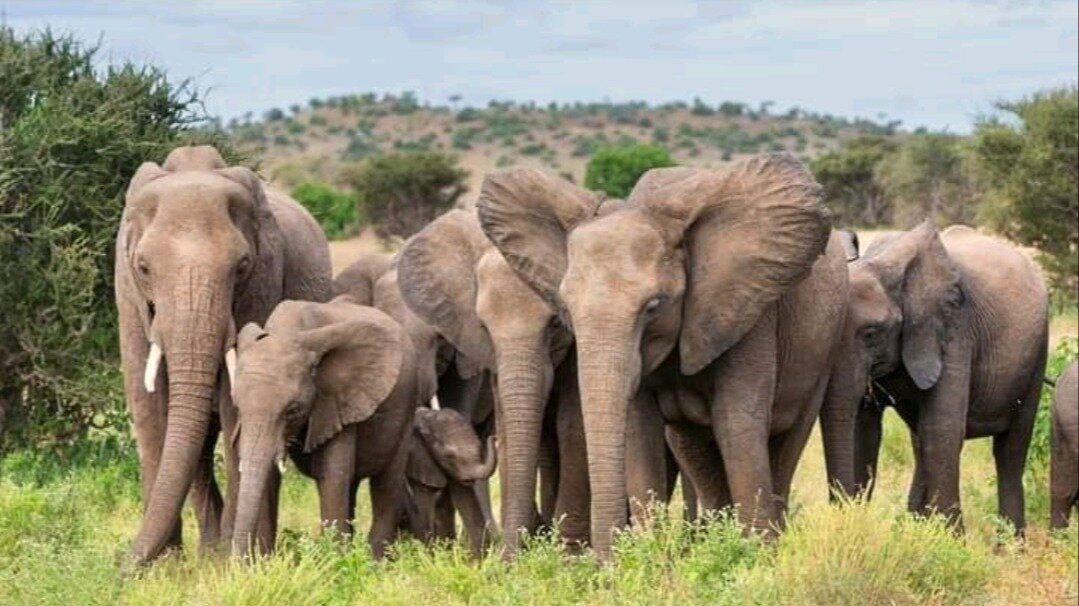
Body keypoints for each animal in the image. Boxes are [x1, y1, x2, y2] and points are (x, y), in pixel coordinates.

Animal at [114, 145, 332, 564]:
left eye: (242, 266)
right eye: (143, 267)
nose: (122, 568)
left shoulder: (264, 280)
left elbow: (237, 405)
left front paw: (233, 564)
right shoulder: (127, 293)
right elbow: (148, 405)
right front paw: (165, 567)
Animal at [229, 296, 417, 559]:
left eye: (293, 410)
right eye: (237, 407)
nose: (234, 563)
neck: (289, 331)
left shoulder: (338, 399)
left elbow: (332, 477)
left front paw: (336, 565)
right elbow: (268, 478)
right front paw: (264, 563)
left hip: (407, 412)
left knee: (386, 485)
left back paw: (375, 561)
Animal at [404, 407, 498, 557]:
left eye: (479, 447)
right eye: (449, 456)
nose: (494, 437)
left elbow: (465, 500)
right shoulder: (418, 461)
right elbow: (424, 502)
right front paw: (430, 558)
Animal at [476, 153, 847, 560]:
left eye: (654, 306)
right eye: (566, 313)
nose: (604, 563)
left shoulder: (749, 311)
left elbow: (737, 423)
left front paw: (756, 557)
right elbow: (641, 434)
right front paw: (651, 556)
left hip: (823, 350)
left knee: (786, 442)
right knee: (693, 447)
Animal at [820, 222, 1048, 534]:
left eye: (871, 334)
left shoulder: (954, 329)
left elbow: (942, 430)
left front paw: (952, 541)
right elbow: (864, 432)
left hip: (1036, 356)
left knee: (1010, 450)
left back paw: (1010, 543)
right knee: (920, 443)